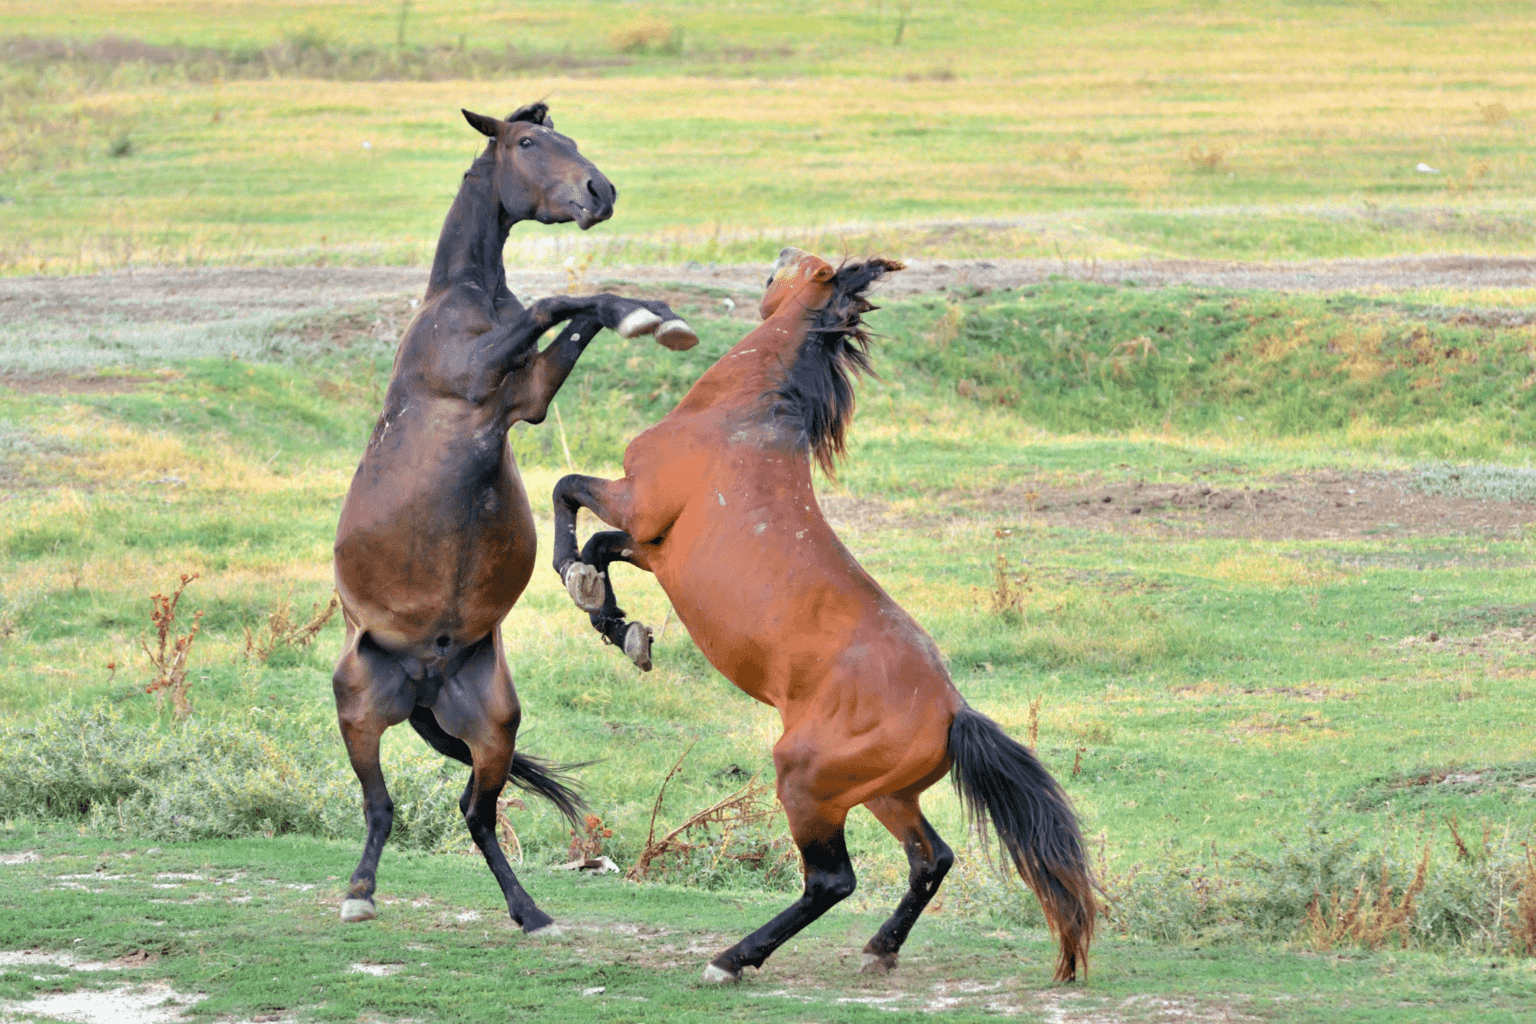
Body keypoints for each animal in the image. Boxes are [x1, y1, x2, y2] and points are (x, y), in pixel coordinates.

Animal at [331, 101, 699, 936]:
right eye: (529, 142)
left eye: (567, 140)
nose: (601, 192)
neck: (463, 297)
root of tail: (426, 677)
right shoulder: (476, 378)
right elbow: (552, 304)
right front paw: (649, 317)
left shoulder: (525, 395)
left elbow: (576, 311)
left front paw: (652, 316)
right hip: (360, 708)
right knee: (379, 805)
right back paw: (360, 892)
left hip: (494, 722)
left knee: (476, 811)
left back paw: (529, 910)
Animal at [549, 248, 1098, 983]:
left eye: (802, 266)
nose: (778, 256)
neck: (745, 415)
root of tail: (952, 712)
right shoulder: (652, 545)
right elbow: (600, 546)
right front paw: (621, 626)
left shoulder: (636, 506)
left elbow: (569, 497)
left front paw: (585, 591)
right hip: (886, 794)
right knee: (932, 858)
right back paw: (879, 949)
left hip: (806, 783)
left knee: (832, 881)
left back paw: (733, 959)